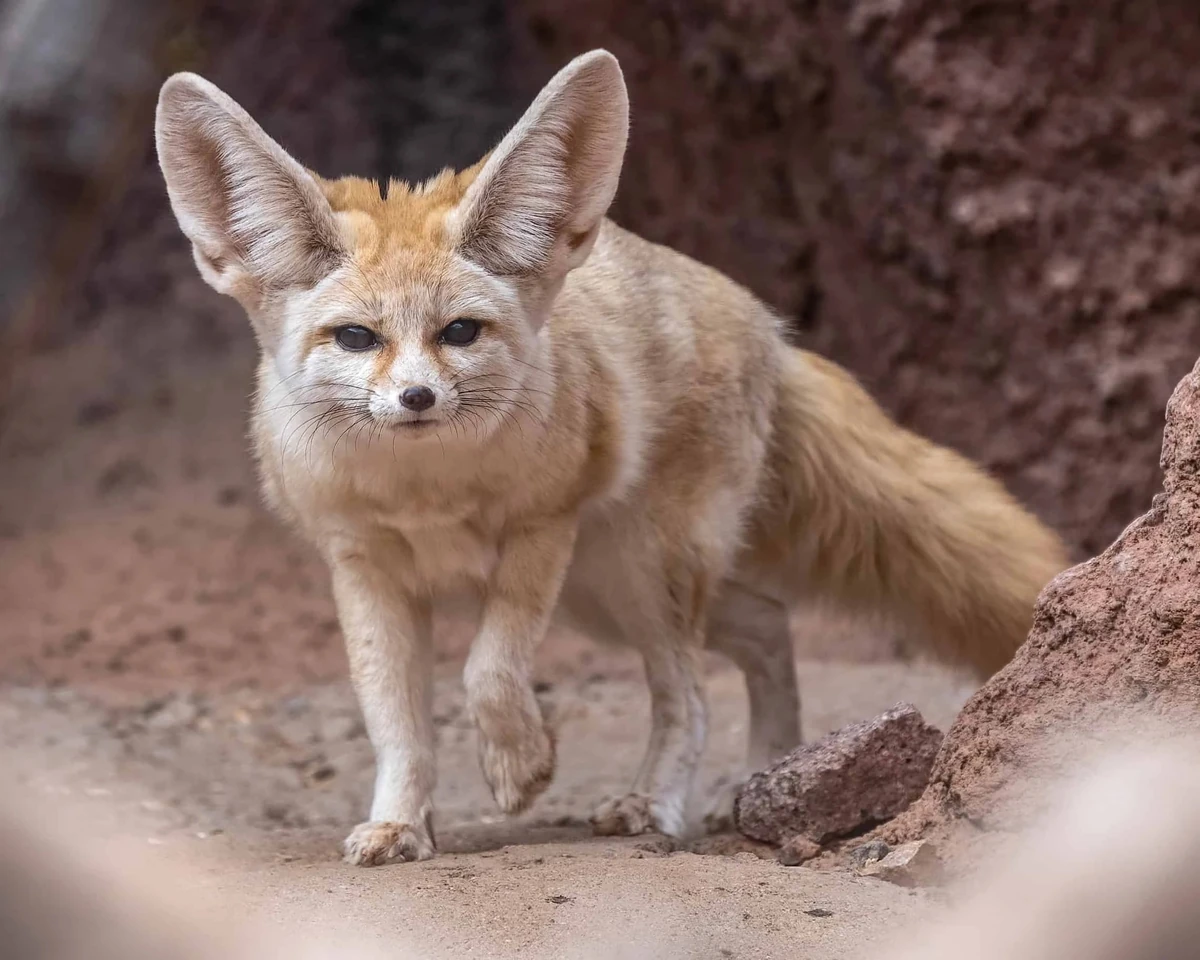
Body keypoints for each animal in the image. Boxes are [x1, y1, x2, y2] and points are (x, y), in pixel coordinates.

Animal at [154, 49, 1068, 866]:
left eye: (460, 332)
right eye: (356, 339)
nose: (417, 399)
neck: (427, 492)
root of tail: (770, 328)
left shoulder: (541, 530)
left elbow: (488, 671)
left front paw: (519, 767)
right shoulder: (363, 567)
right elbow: (395, 723)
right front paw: (398, 825)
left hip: (635, 572)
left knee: (689, 694)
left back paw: (654, 803)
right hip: (608, 594)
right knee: (766, 625)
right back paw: (767, 771)